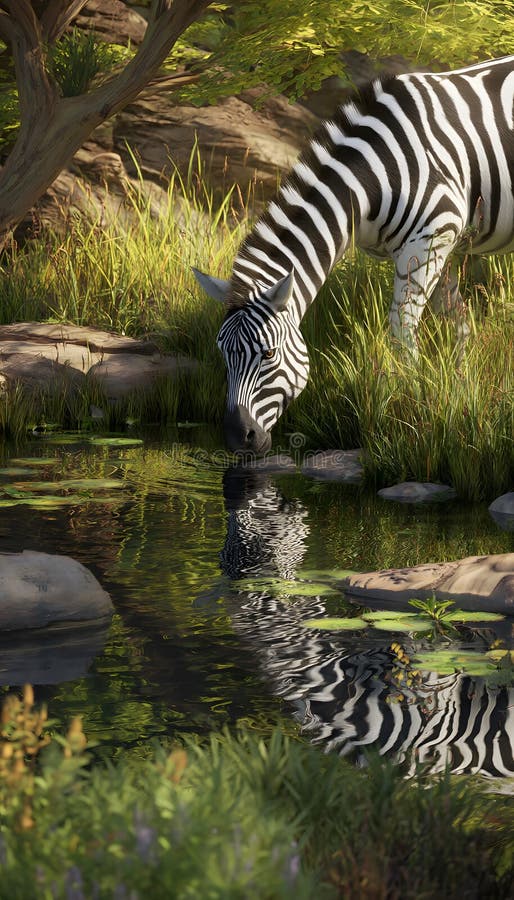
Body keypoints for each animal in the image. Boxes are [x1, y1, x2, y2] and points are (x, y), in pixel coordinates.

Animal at [194, 55, 514, 452]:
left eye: (268, 354)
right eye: (223, 355)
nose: (240, 439)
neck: (373, 176)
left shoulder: (432, 237)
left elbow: (402, 327)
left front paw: (412, 406)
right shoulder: (438, 245)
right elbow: (459, 322)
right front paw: (457, 386)